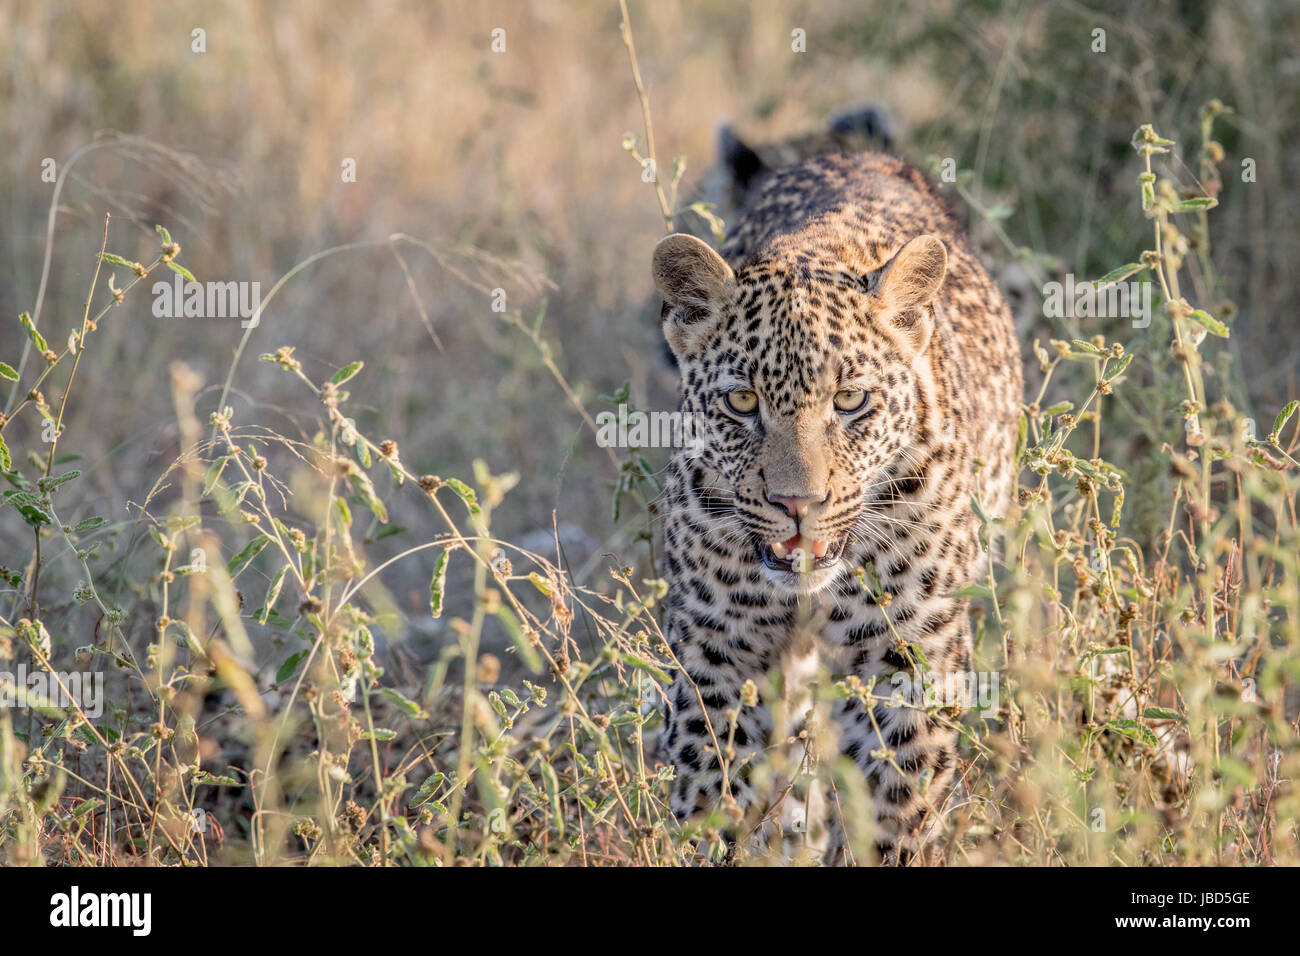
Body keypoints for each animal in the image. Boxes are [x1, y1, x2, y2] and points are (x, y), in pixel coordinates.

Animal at [651, 123, 1023, 865]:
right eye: (742, 402)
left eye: (851, 401)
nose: (798, 503)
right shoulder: (721, 645)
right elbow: (713, 785)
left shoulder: (906, 654)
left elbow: (894, 806)